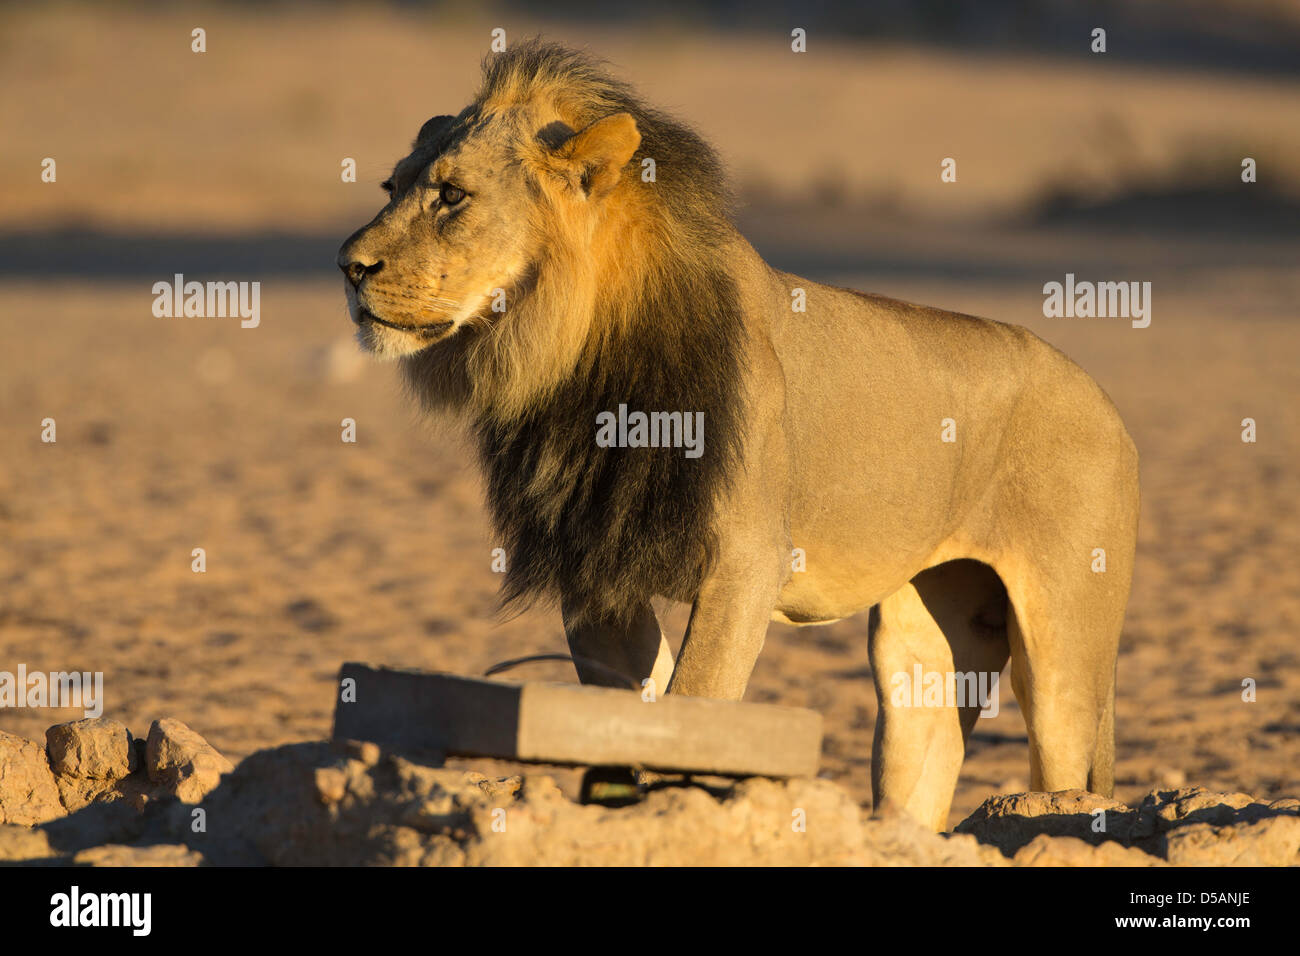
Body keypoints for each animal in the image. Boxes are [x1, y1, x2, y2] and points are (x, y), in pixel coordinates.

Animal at [338, 41, 1138, 832]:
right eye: (389, 186)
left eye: (451, 196)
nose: (348, 266)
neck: (574, 362)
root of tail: (1107, 405)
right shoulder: (594, 567)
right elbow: (643, 703)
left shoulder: (746, 560)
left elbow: (698, 695)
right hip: (921, 639)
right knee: (922, 749)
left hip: (1063, 647)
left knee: (1066, 766)